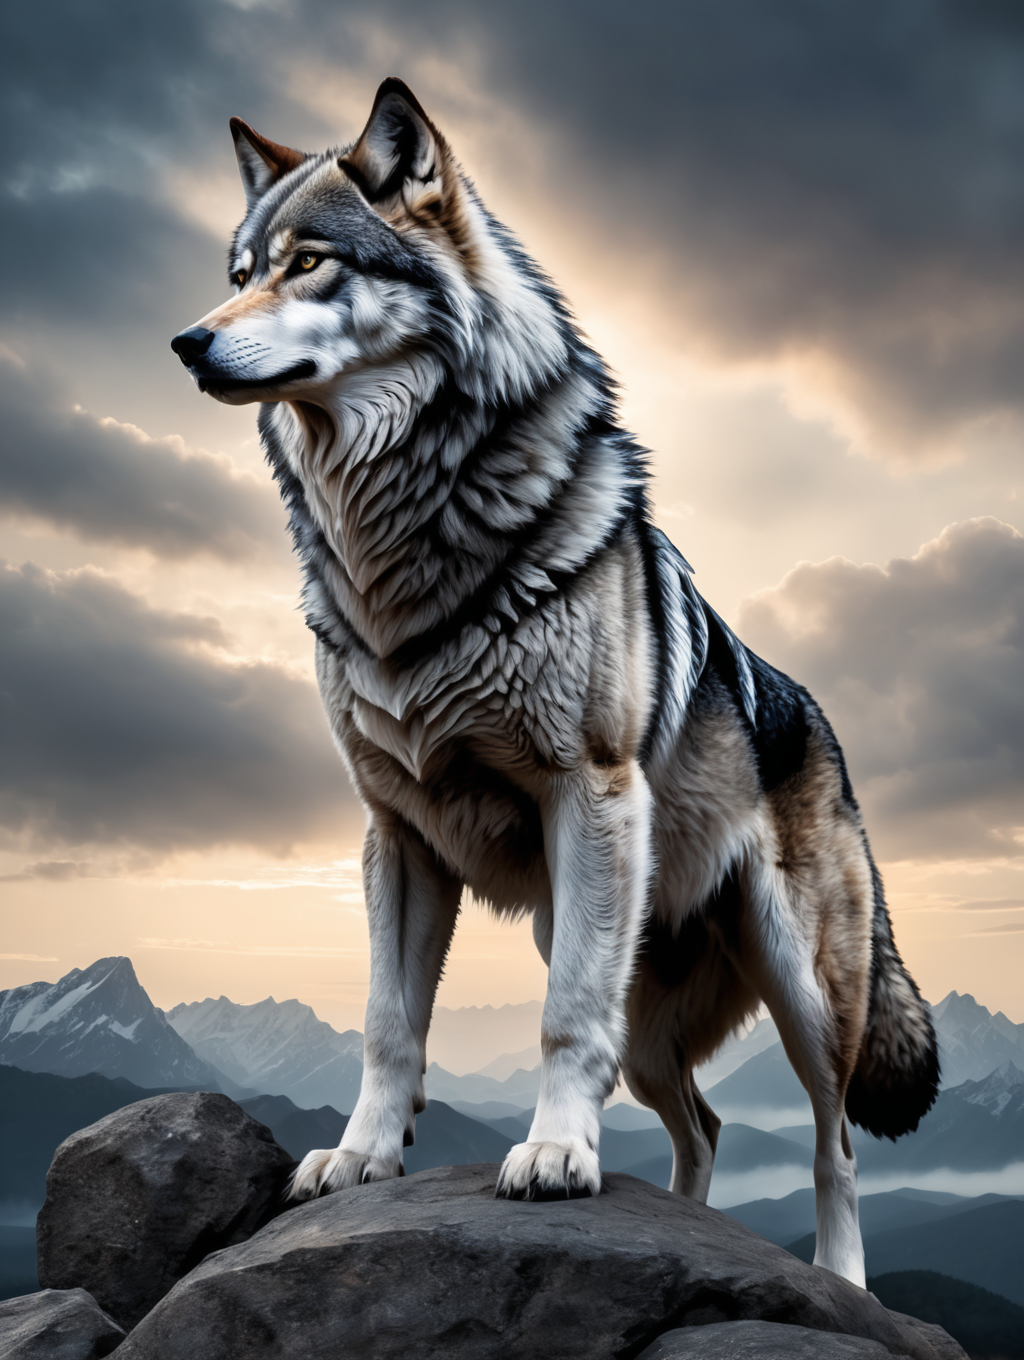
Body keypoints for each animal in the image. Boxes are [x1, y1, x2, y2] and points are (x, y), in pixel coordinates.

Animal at [171, 78, 938, 1287]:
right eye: (239, 268)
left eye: (309, 265)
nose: (187, 341)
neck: (402, 539)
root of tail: (818, 718)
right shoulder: (394, 832)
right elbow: (389, 1023)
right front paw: (359, 1157)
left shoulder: (592, 793)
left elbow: (563, 1020)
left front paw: (556, 1157)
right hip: (646, 996)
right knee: (705, 1125)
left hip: (802, 985)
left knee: (835, 1142)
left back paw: (835, 1276)